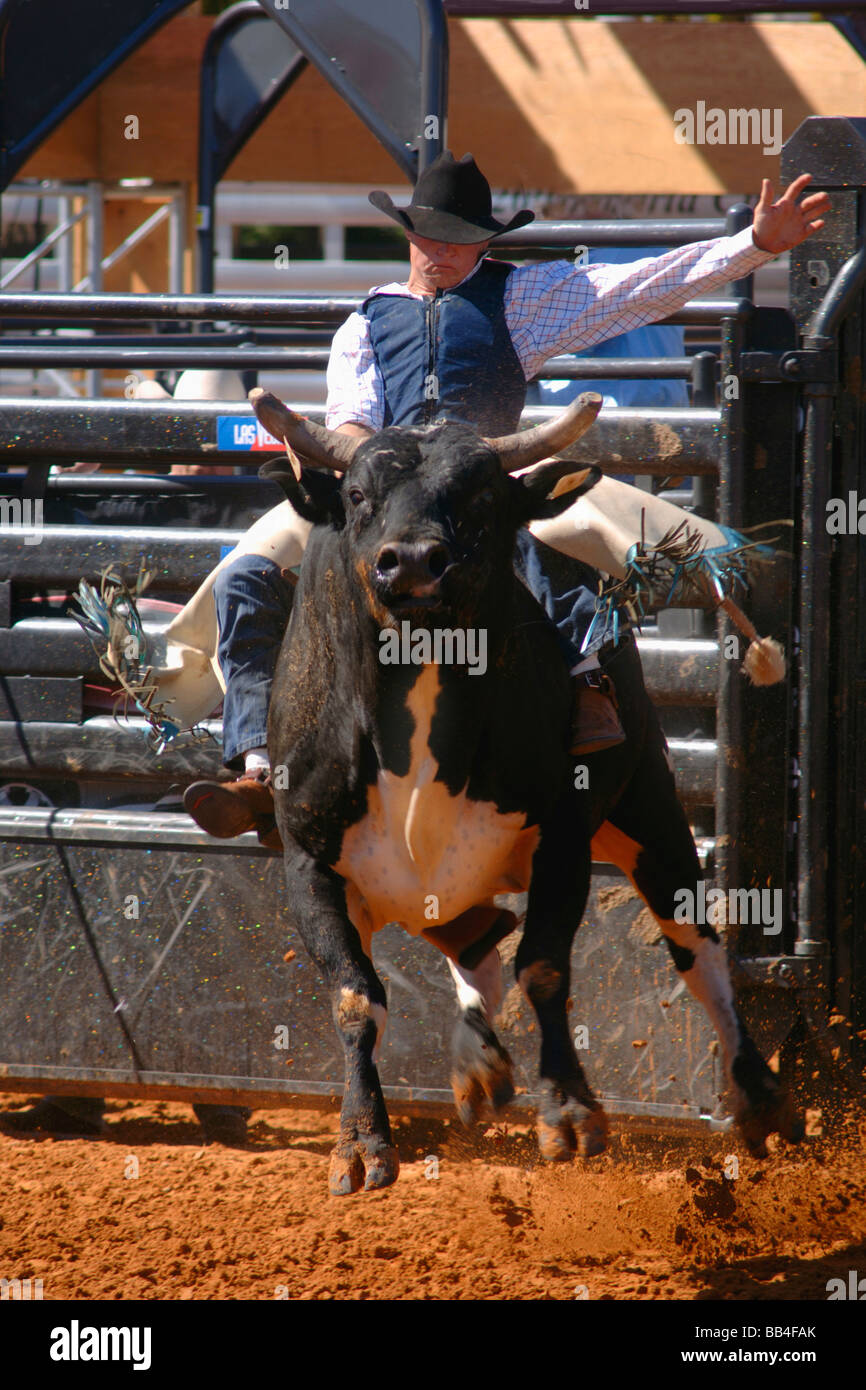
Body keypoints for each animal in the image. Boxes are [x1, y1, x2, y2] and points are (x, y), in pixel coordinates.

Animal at [249, 386, 803, 1195]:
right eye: (356, 495)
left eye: (482, 496)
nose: (412, 560)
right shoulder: (309, 860)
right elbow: (356, 996)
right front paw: (360, 1140)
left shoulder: (563, 838)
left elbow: (542, 965)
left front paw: (568, 1112)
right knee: (476, 943)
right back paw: (478, 1066)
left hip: (651, 813)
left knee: (698, 957)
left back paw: (759, 1098)